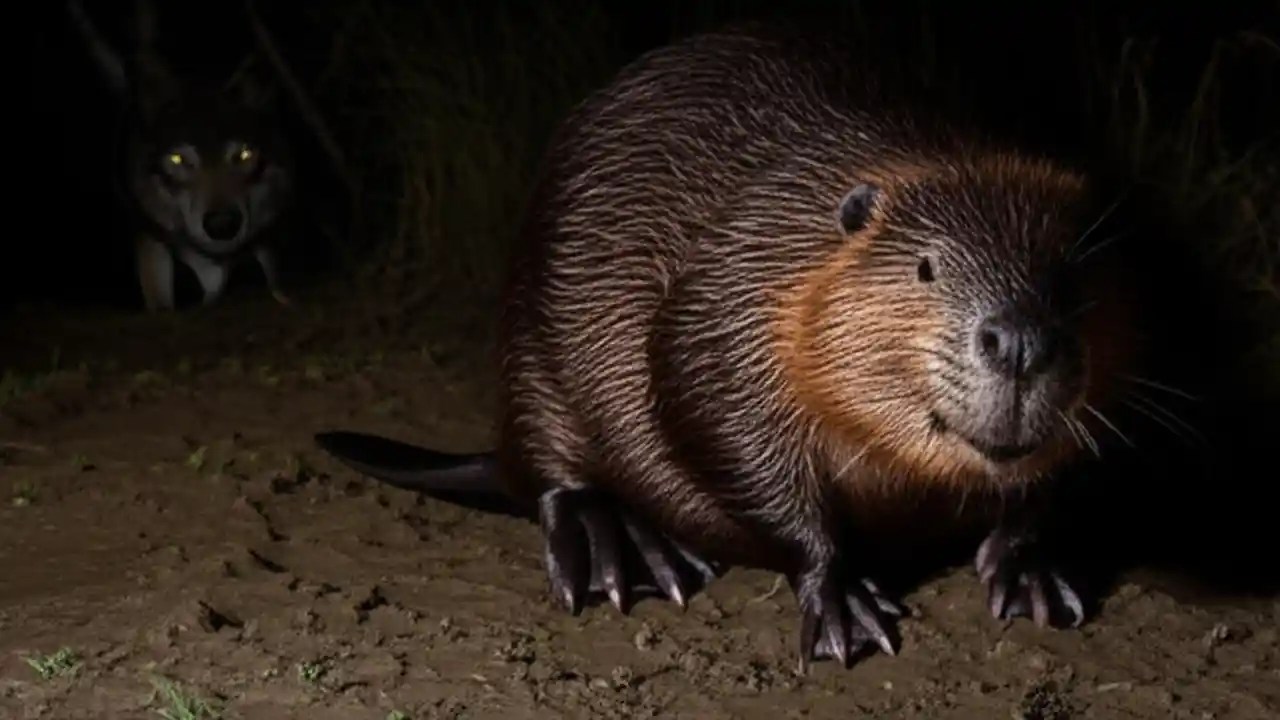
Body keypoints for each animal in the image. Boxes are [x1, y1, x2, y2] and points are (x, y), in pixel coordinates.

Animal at [66, 0, 295, 311]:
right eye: (178, 160)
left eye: (244, 154)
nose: (222, 225)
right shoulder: (153, 235)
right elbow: (167, 299)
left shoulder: (269, 233)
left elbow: (275, 279)